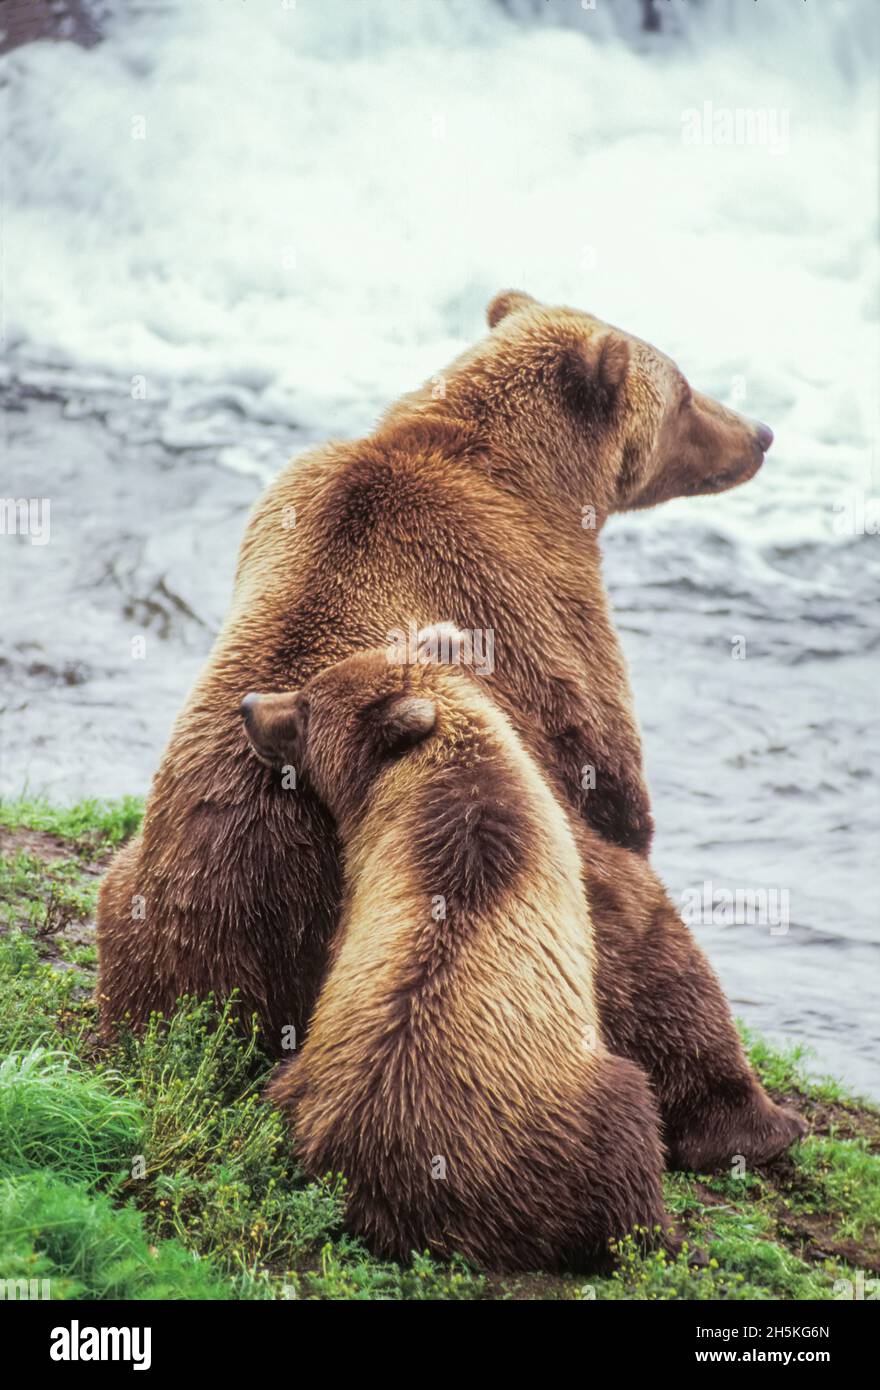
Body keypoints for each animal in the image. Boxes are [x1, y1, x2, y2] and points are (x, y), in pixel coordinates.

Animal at [97, 289, 798, 1171]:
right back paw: (753, 1118)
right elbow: (610, 777)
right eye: (686, 390)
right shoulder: (538, 606)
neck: (535, 481)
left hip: (134, 889)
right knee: (651, 944)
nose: (762, 433)